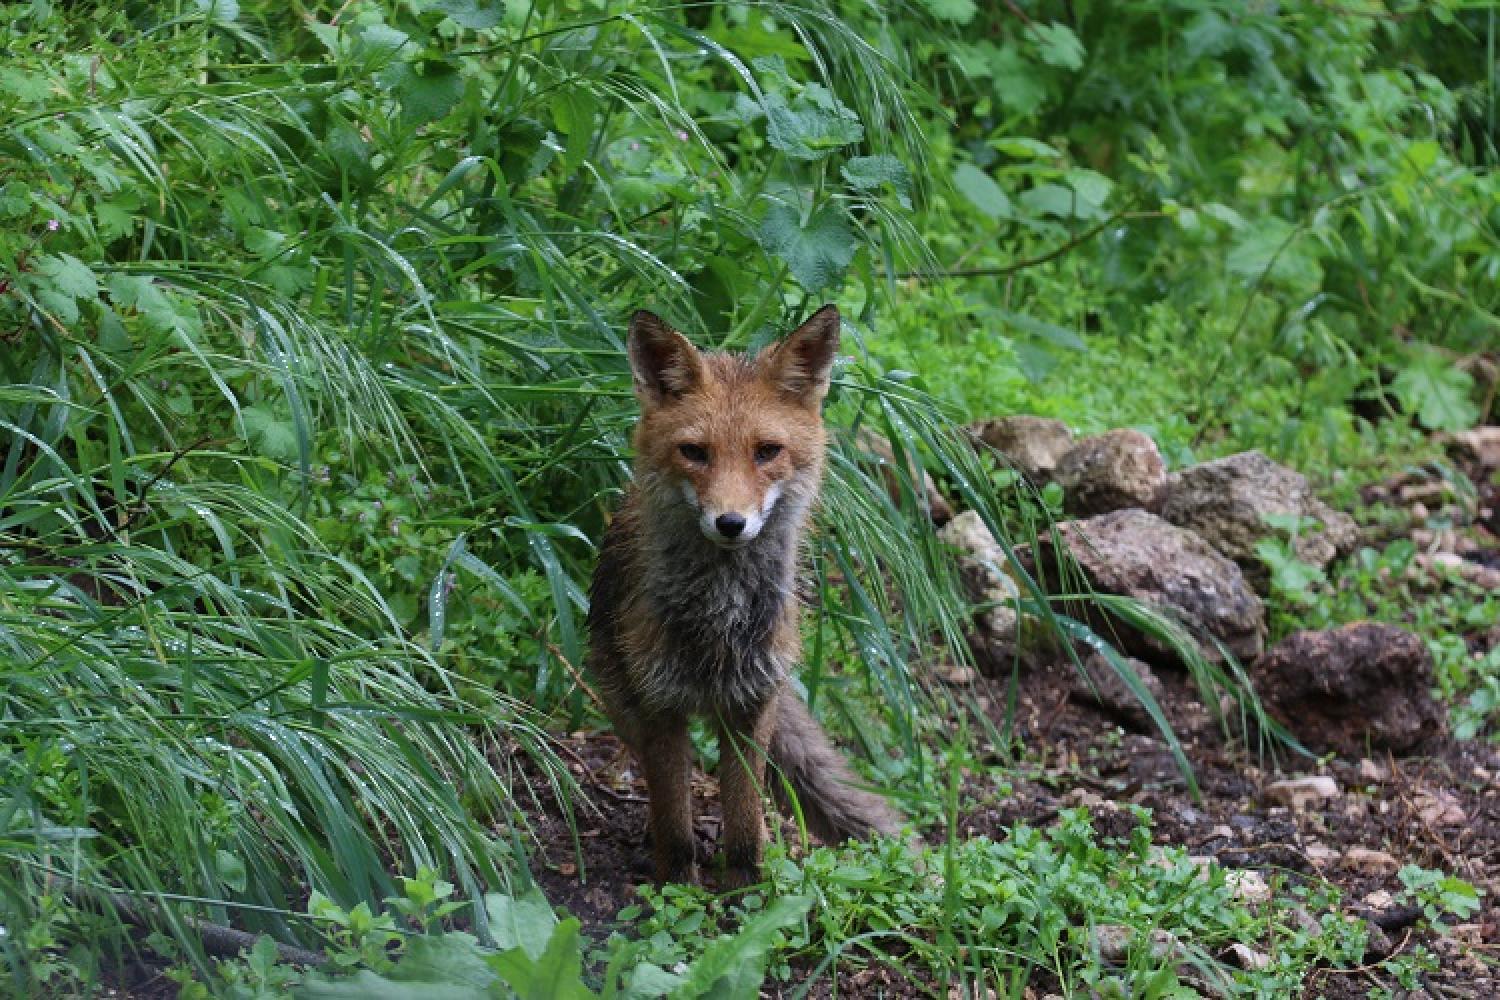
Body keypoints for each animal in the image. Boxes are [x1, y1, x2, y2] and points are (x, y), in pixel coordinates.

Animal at [587, 304, 902, 887]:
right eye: (694, 453)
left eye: (766, 452)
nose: (730, 523)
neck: (720, 619)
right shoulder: (660, 703)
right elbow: (675, 819)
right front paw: (678, 889)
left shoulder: (753, 702)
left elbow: (744, 818)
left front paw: (745, 890)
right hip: (622, 700)